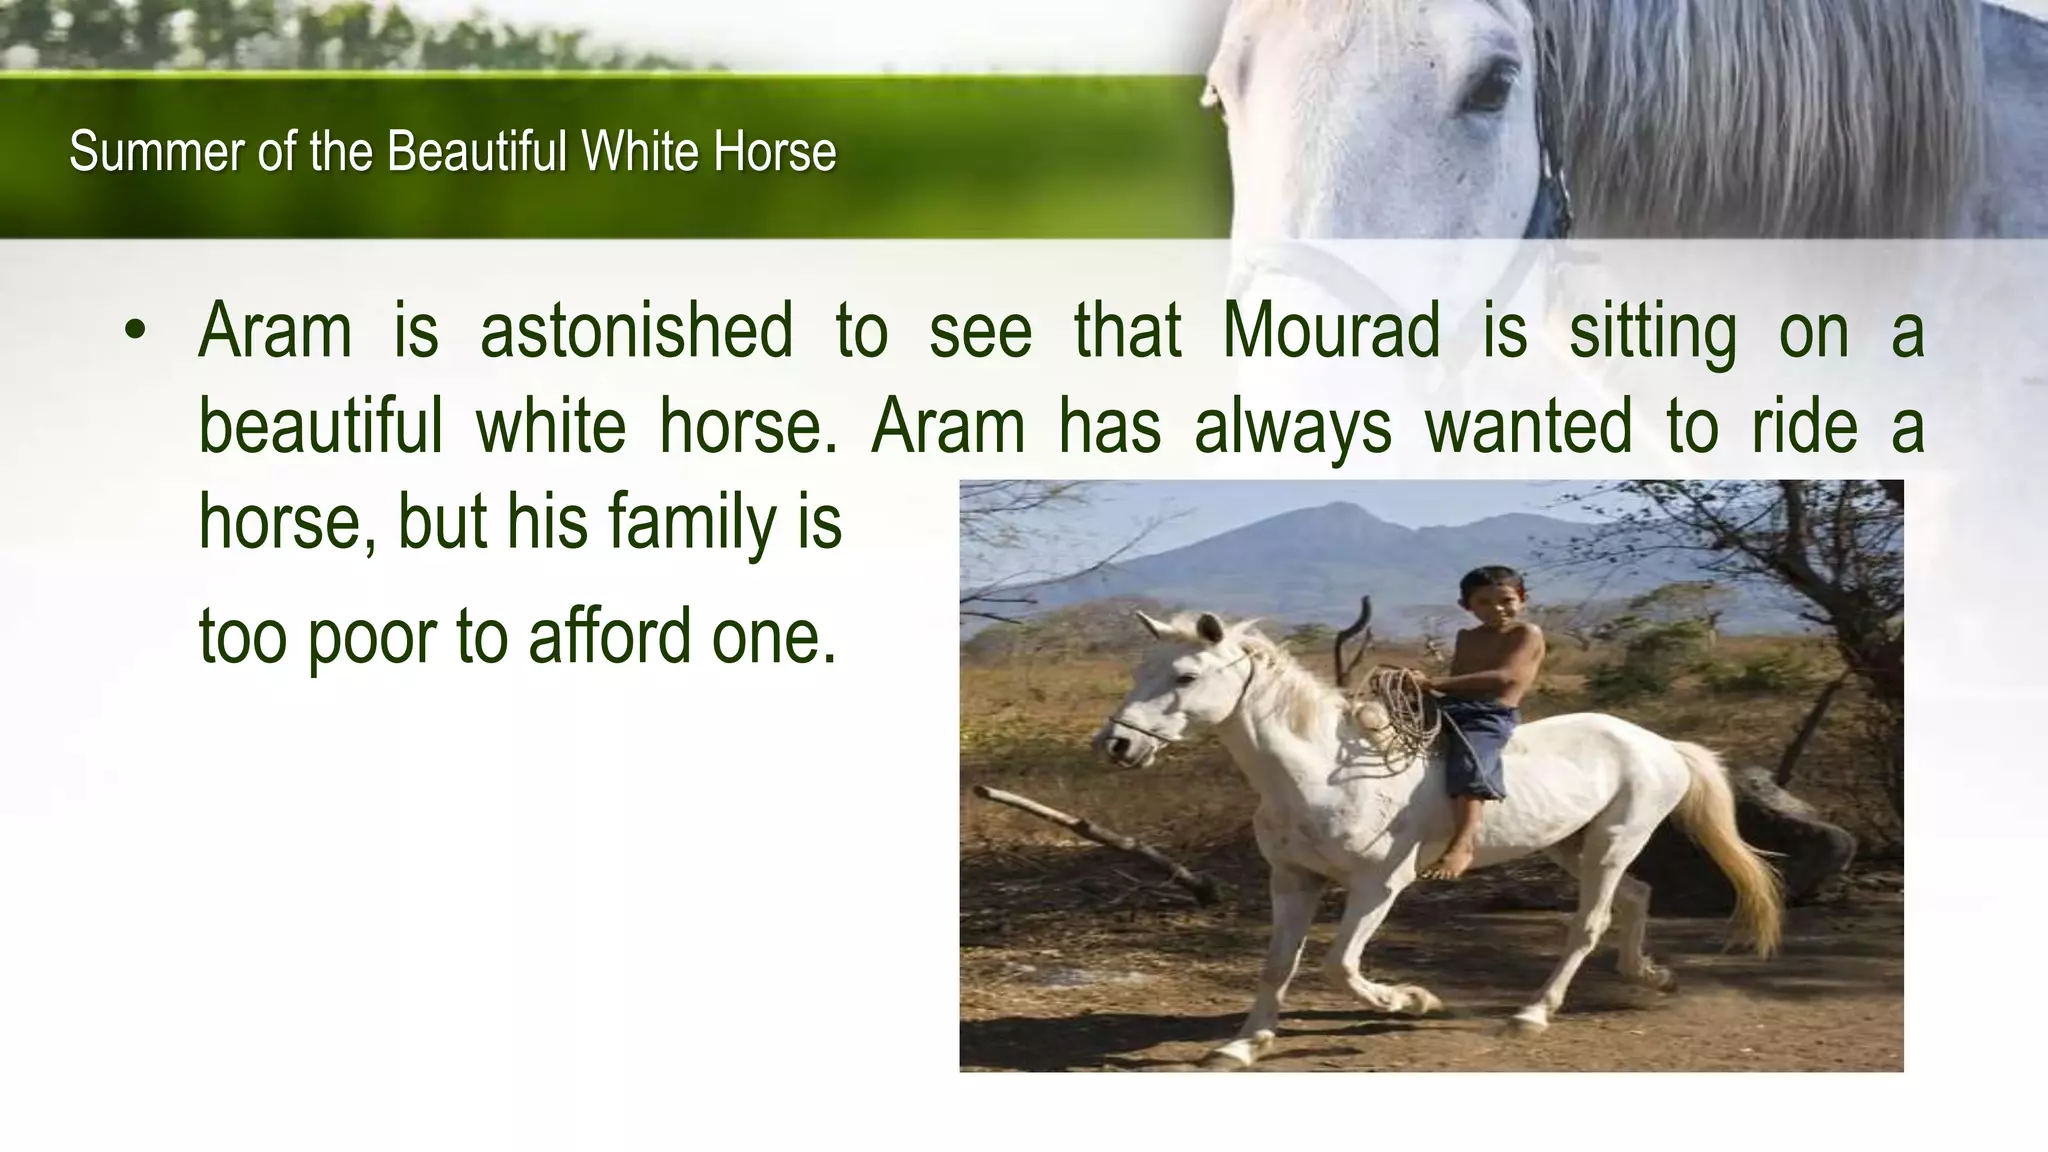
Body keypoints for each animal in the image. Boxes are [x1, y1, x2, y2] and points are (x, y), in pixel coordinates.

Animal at [1092, 610, 1782, 1070]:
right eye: (1141, 669)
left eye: (1185, 676)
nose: (1117, 745)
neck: (1323, 772)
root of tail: (1660, 743)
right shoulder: (1292, 879)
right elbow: (1277, 964)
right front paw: (1243, 1044)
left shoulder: (1379, 886)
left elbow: (1338, 965)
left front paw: (1413, 1000)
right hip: (1569, 843)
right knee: (1637, 897)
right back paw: (1652, 977)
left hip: (1615, 839)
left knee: (1591, 922)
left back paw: (1533, 1014)